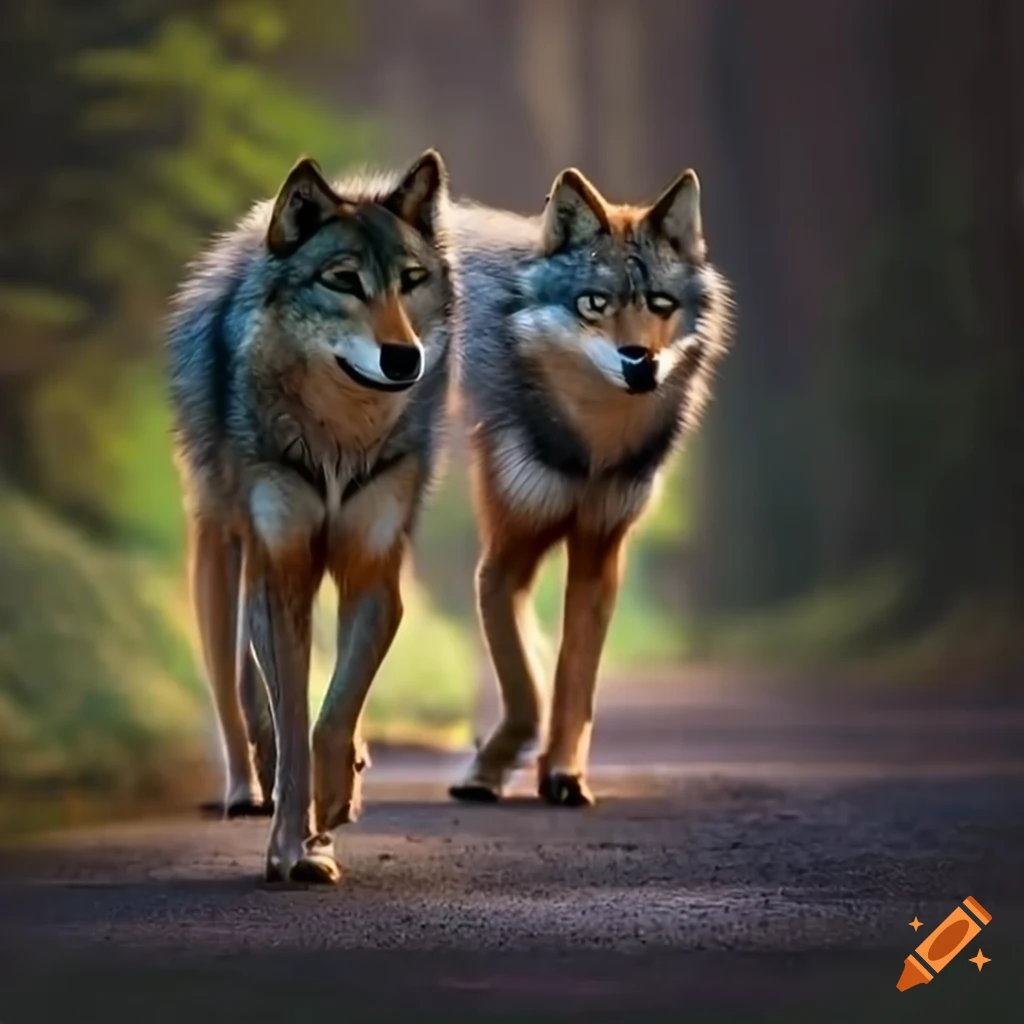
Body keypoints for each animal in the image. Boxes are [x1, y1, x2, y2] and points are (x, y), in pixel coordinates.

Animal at [167, 149, 457, 883]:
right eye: (344, 281)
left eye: (411, 280)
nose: (404, 357)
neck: (337, 438)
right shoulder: (284, 568)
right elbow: (294, 716)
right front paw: (288, 846)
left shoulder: (374, 573)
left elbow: (334, 711)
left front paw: (330, 808)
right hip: (223, 562)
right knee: (236, 688)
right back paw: (248, 788)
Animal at [447, 165, 731, 808]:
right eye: (594, 303)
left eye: (660, 304)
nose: (640, 362)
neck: (593, 454)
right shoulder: (503, 561)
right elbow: (524, 684)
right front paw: (488, 769)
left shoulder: (601, 549)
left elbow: (572, 677)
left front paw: (561, 772)